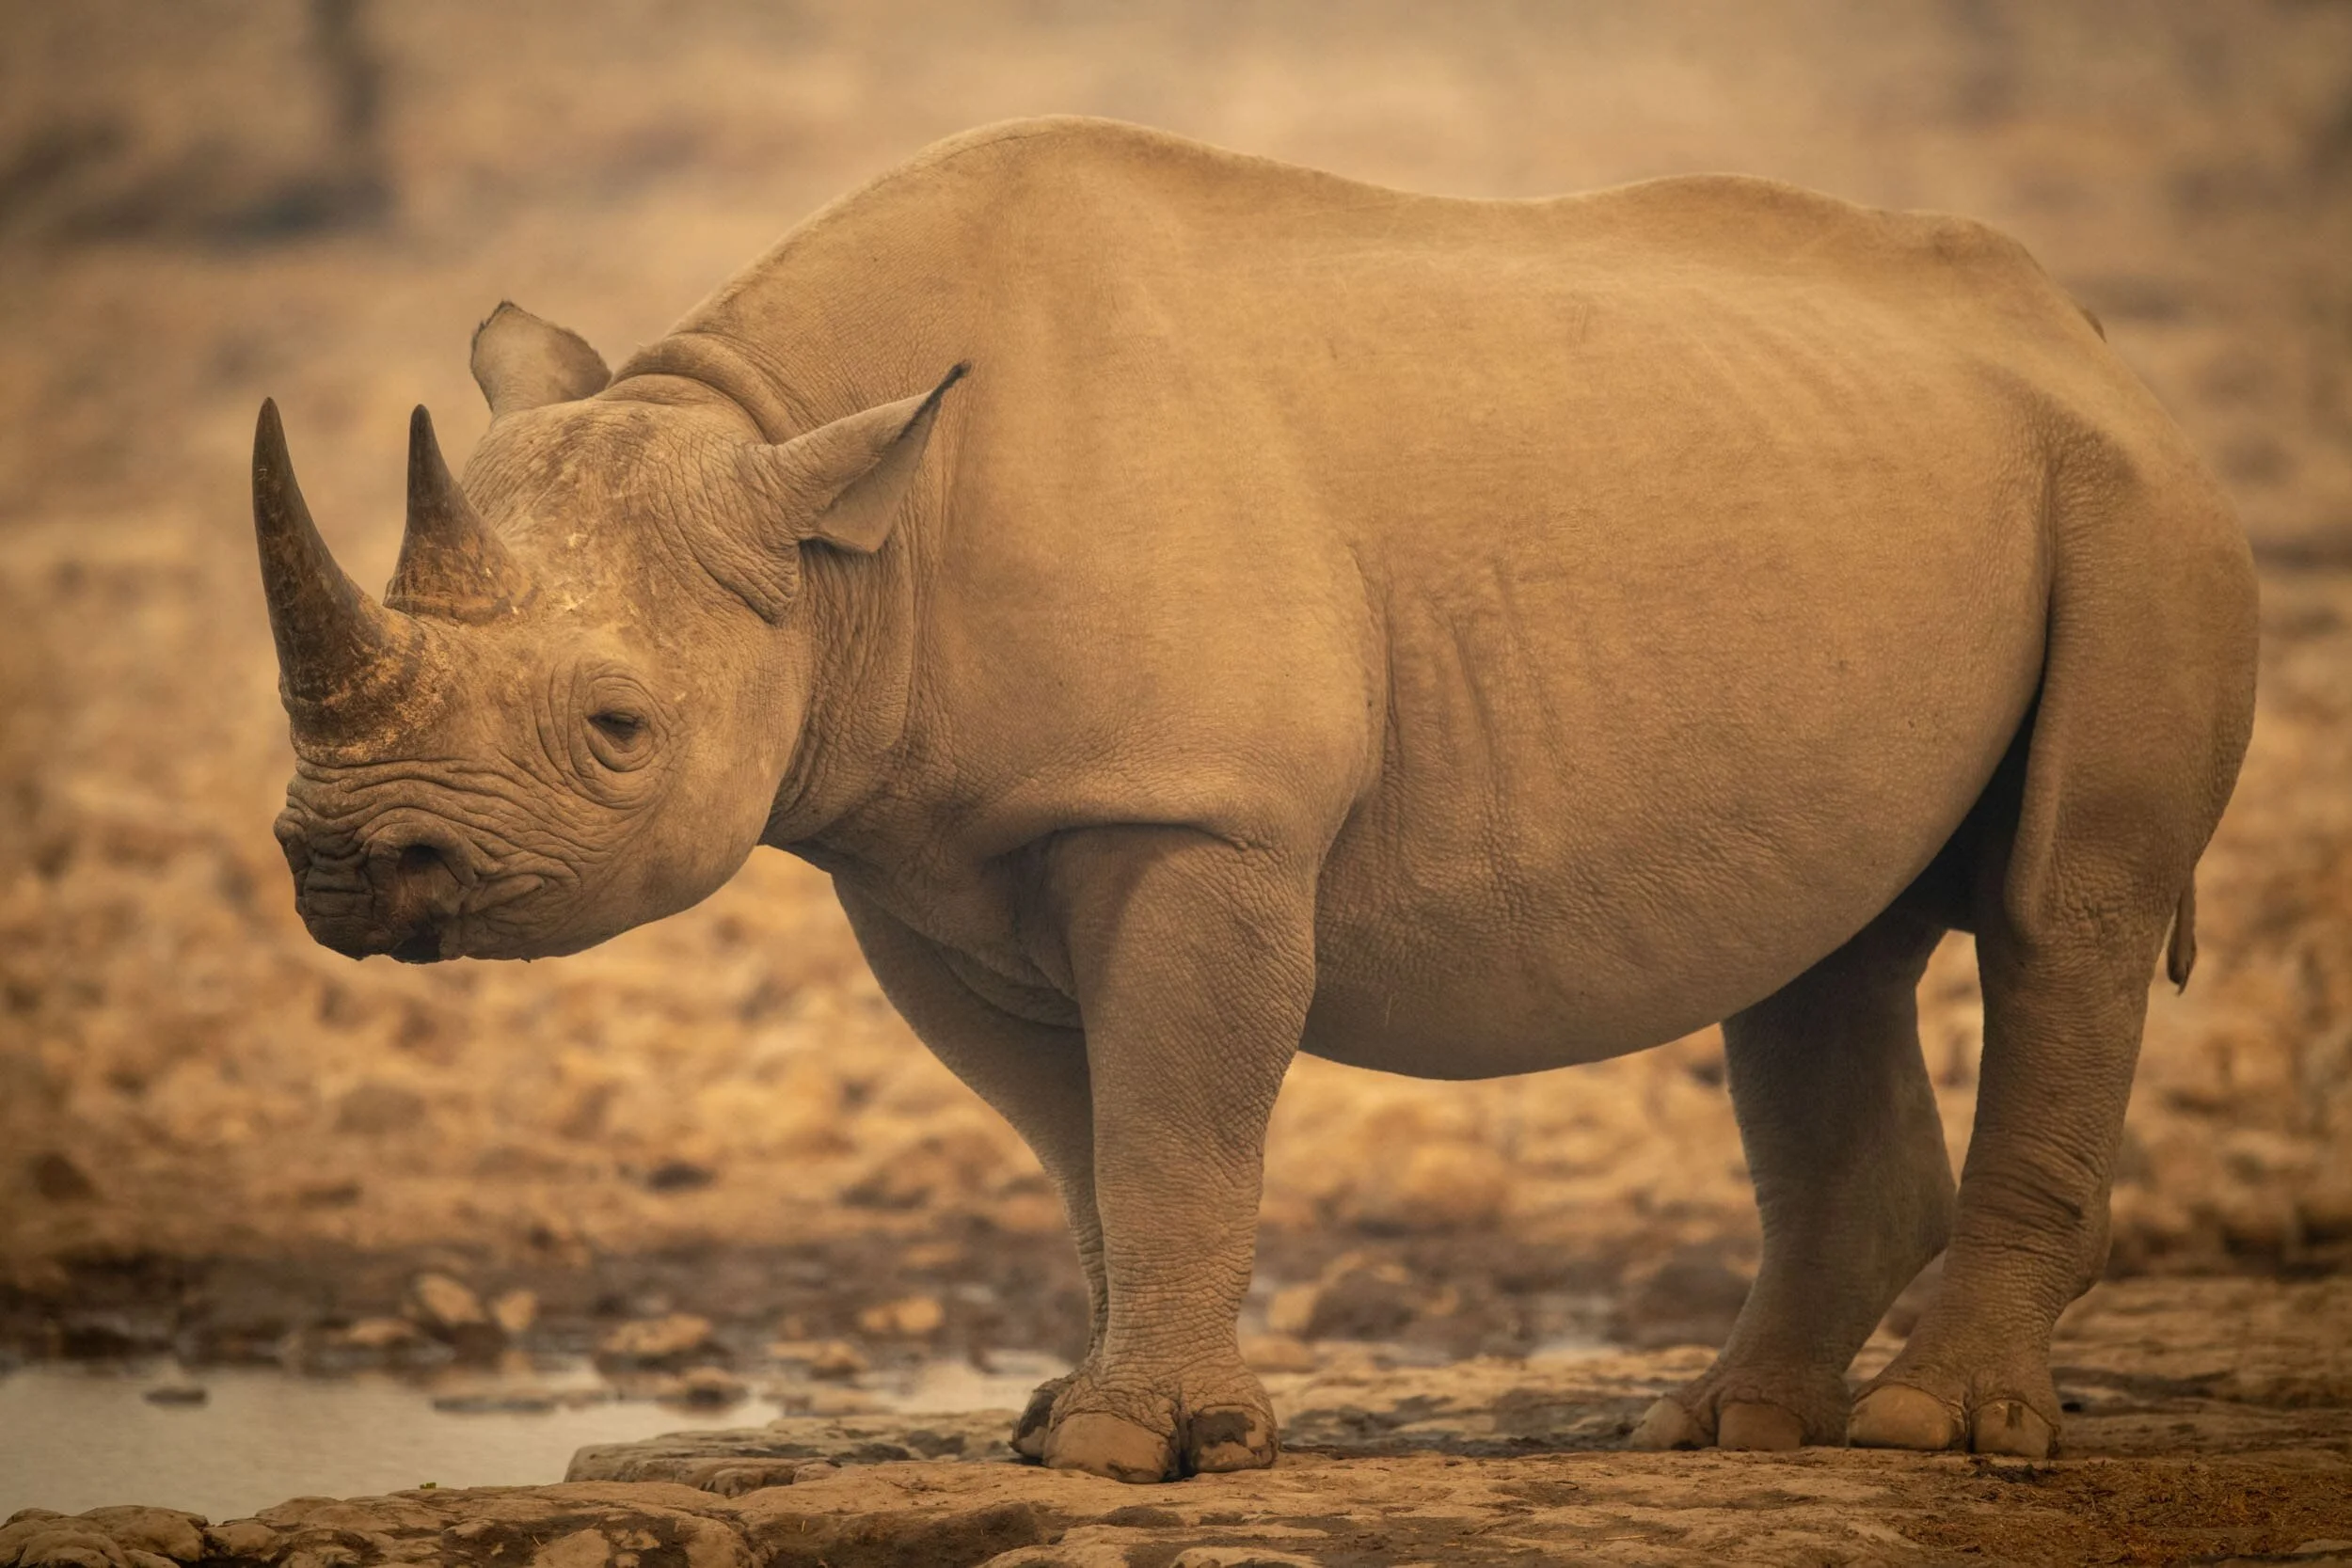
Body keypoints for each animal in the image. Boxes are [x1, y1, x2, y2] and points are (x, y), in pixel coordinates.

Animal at [254, 117, 2256, 1482]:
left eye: (615, 726)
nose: (351, 863)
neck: (835, 530)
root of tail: (2095, 337)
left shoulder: (1194, 813)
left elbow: (1174, 1116)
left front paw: (1137, 1450)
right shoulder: (933, 865)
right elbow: (1078, 1139)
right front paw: (1070, 1418)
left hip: (2139, 502)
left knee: (2064, 906)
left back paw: (1936, 1434)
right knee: (1819, 953)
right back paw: (1732, 1433)